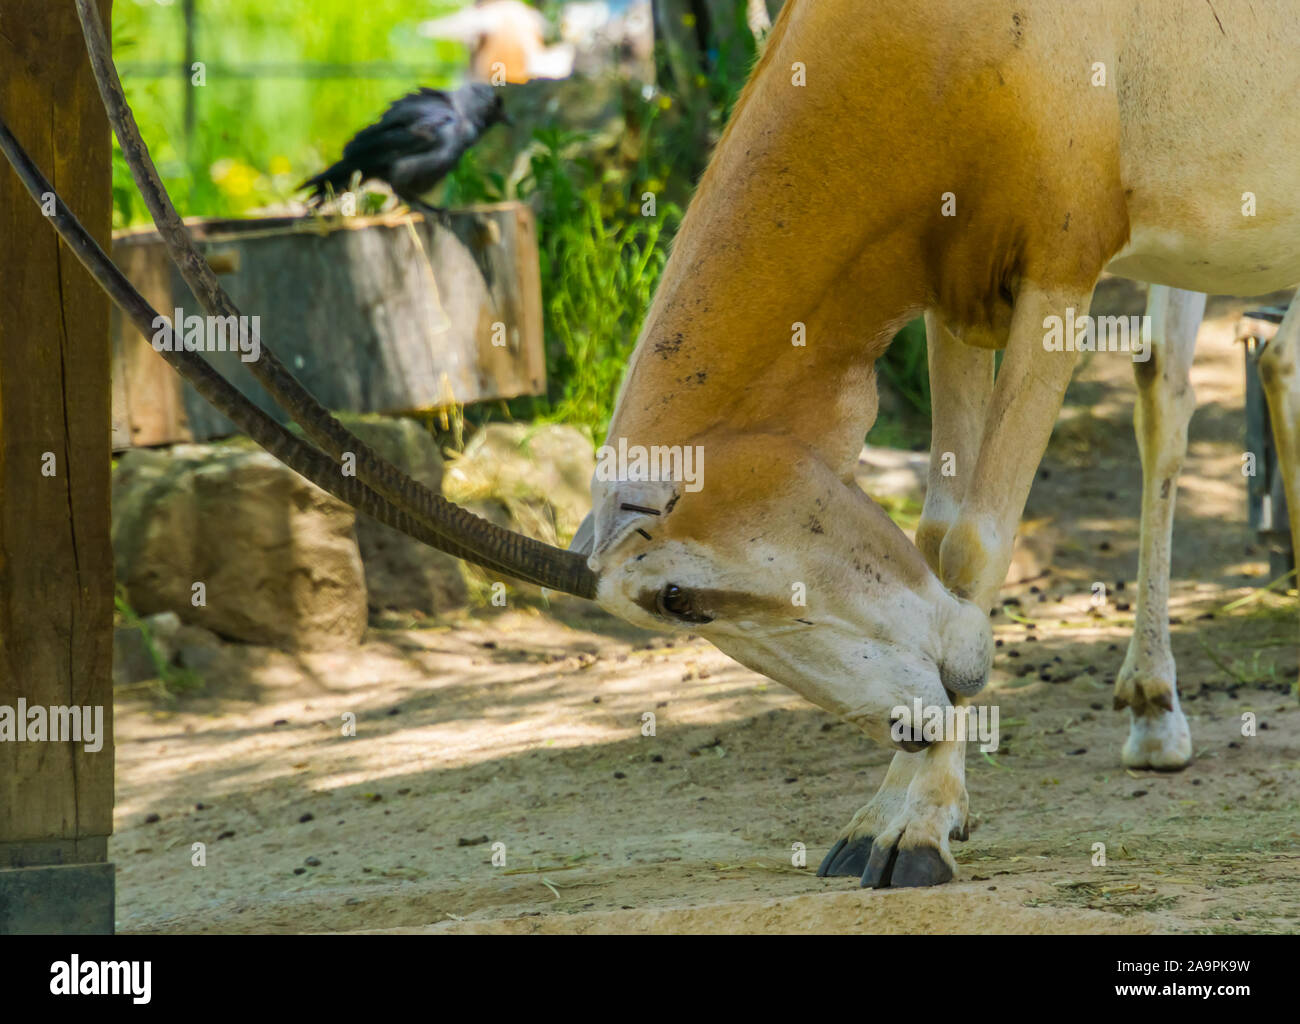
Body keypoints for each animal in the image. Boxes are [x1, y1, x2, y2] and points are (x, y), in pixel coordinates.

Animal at [5, 0, 1297, 892]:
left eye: (679, 595)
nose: (929, 707)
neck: (954, 37)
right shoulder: (957, 294)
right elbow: (938, 533)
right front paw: (904, 809)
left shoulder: (1056, 279)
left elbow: (975, 546)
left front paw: (915, 826)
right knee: (1193, 377)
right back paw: (1152, 710)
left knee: (1194, 380)